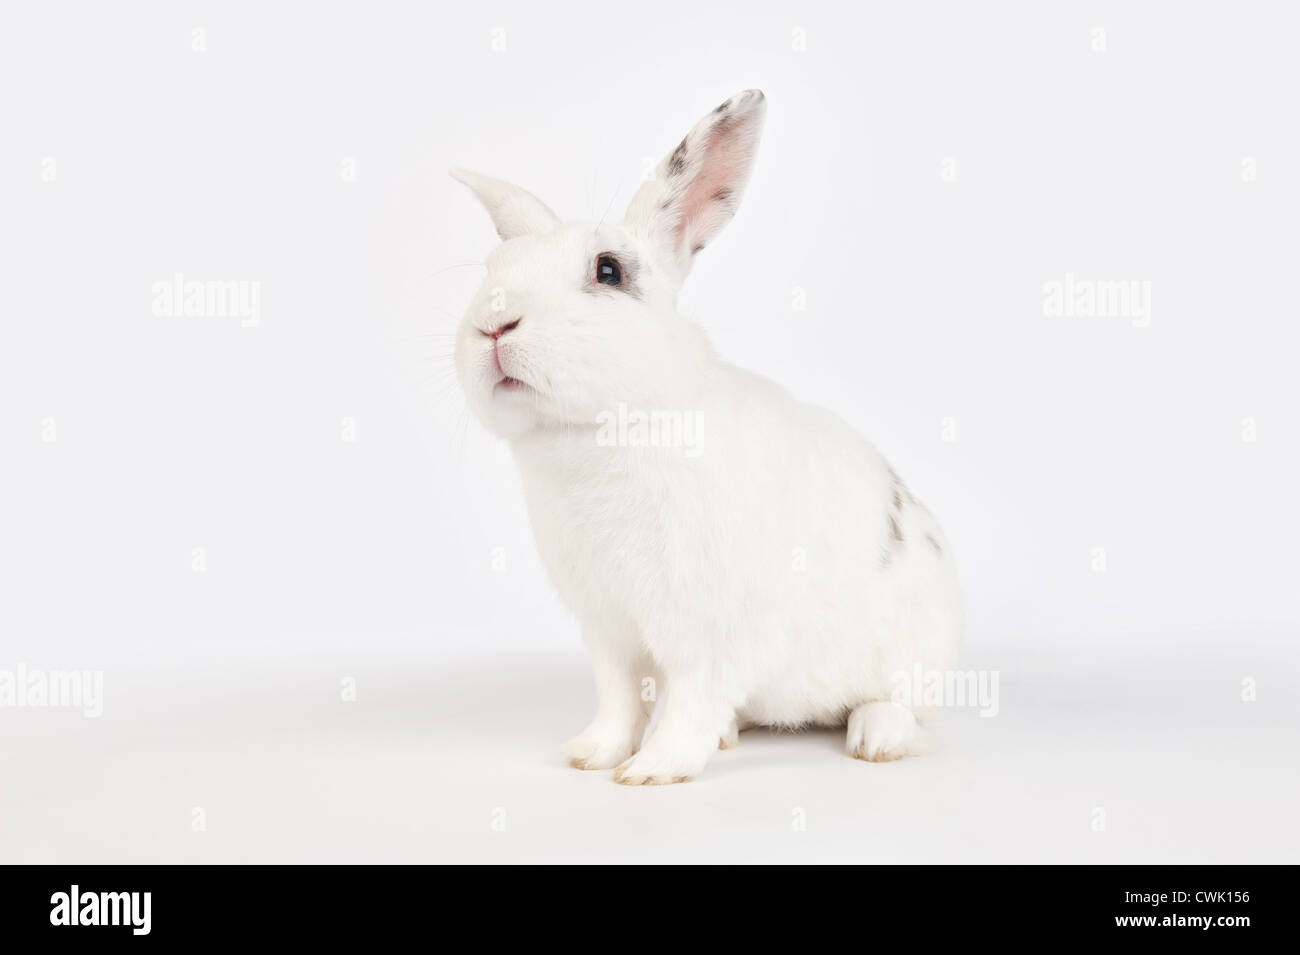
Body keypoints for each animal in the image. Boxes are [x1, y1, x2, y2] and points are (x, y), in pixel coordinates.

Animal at [450, 89, 963, 785]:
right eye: (491, 269)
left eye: (608, 270)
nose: (494, 325)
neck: (605, 429)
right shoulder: (608, 633)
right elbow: (618, 701)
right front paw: (591, 754)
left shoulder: (707, 633)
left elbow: (690, 701)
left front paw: (652, 771)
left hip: (913, 657)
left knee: (898, 707)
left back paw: (874, 737)